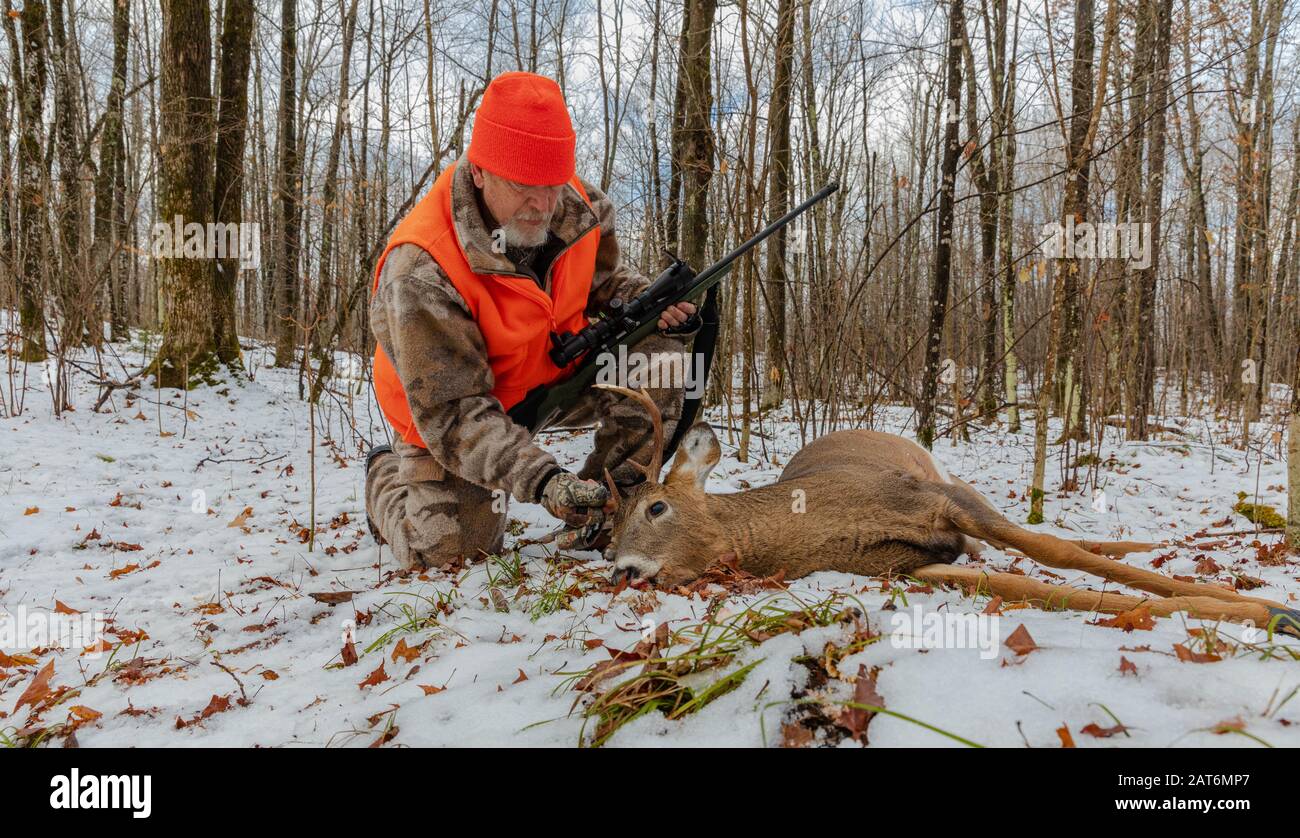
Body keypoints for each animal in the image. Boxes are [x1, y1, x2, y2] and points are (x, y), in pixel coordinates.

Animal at [592, 385, 1300, 638]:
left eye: (656, 506)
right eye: (612, 526)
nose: (619, 569)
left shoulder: (934, 500)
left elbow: (1056, 552)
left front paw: (1271, 607)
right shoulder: (909, 565)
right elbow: (1038, 586)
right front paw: (1262, 612)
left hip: (949, 476)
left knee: (1052, 537)